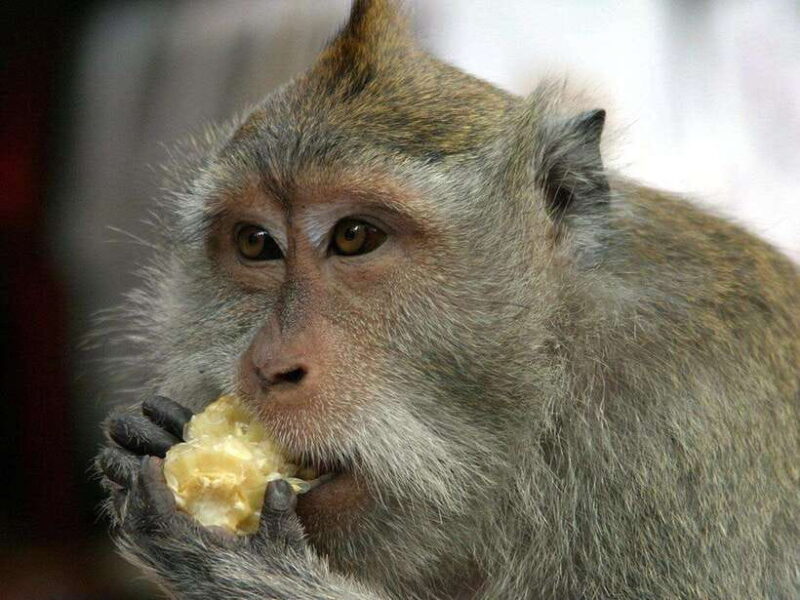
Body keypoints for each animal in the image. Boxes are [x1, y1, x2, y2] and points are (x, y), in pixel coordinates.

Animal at [95, 1, 800, 598]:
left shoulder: (678, 441)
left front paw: (239, 573)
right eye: (256, 243)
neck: (554, 376)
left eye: (355, 236)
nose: (270, 367)